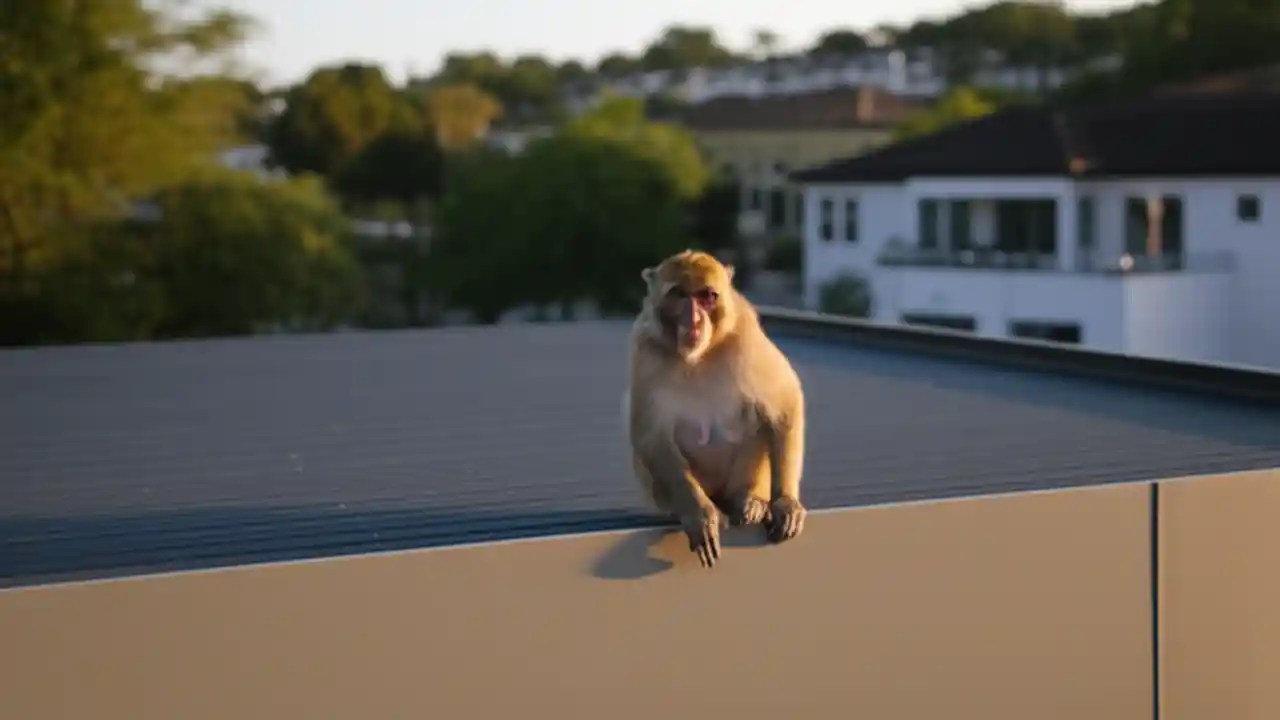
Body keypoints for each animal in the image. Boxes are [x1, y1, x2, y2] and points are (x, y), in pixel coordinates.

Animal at [624, 249, 806, 568]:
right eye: (679, 295)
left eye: (707, 296)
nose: (694, 320)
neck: (699, 354)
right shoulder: (645, 351)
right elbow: (650, 437)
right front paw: (699, 514)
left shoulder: (747, 336)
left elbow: (784, 401)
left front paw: (785, 502)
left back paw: (749, 500)